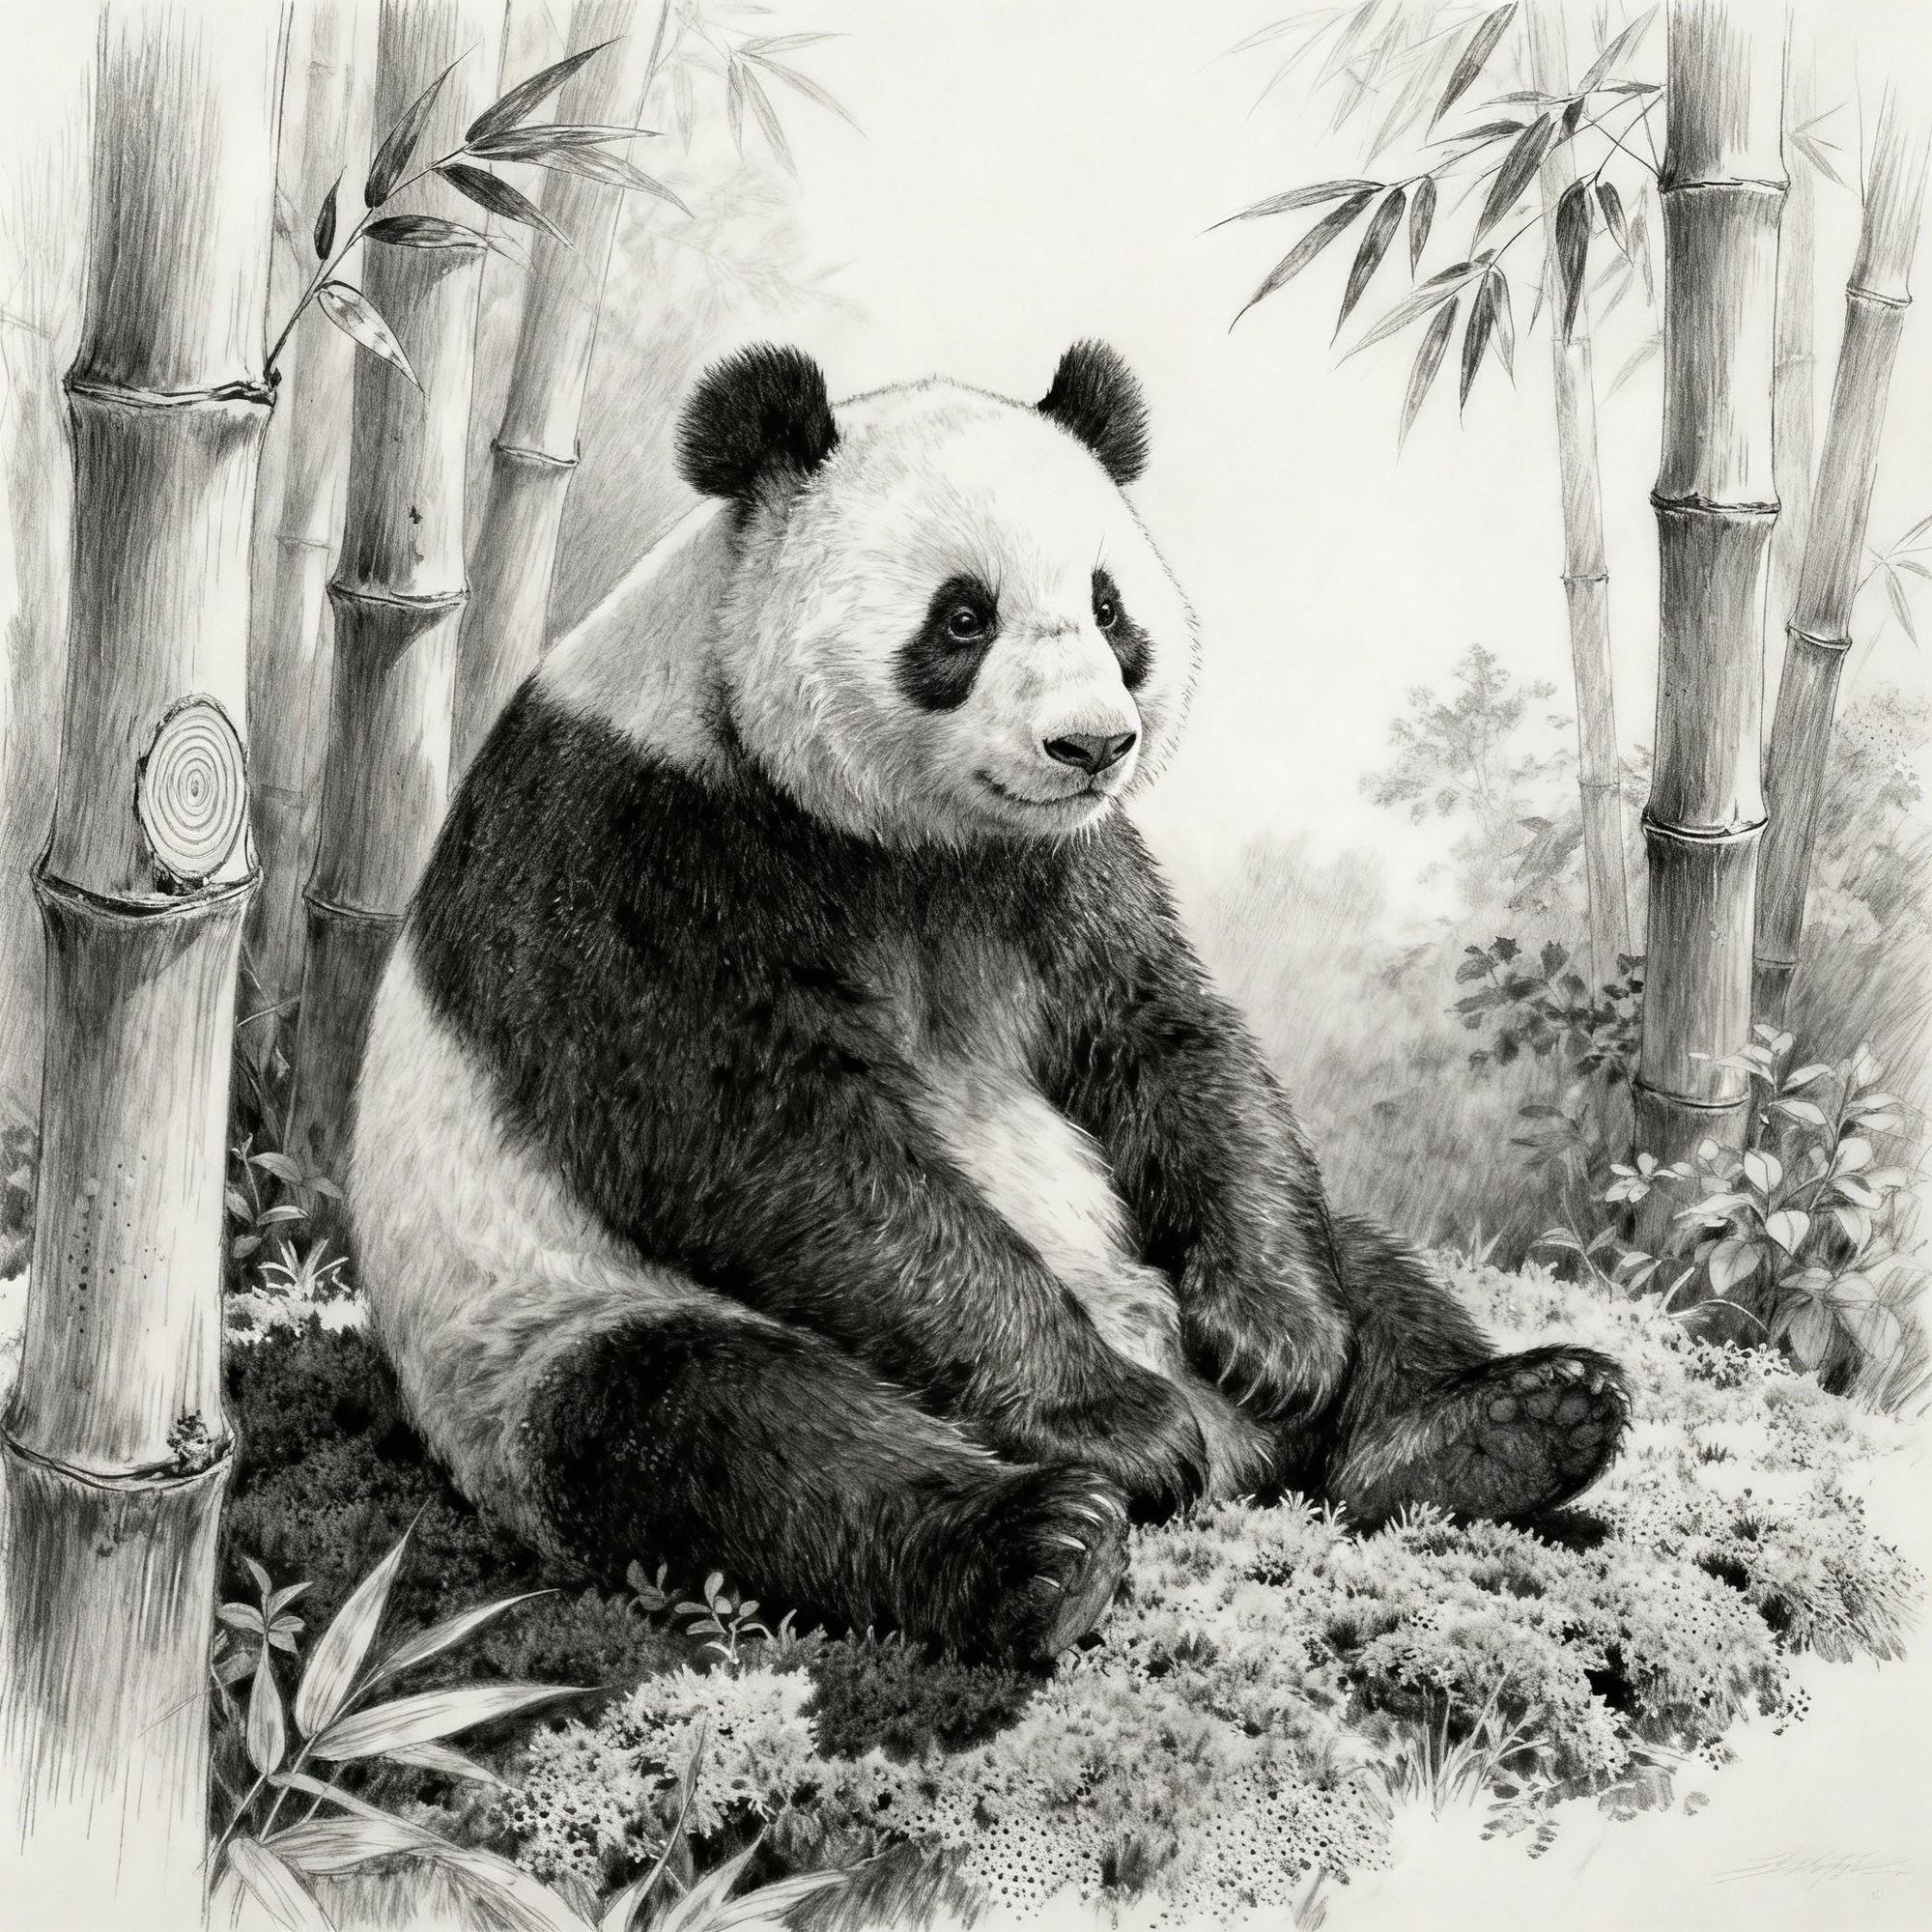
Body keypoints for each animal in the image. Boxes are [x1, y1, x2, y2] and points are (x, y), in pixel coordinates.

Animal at [350, 341, 1630, 1664]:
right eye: (962, 617)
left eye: (1109, 606)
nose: (1092, 745)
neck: (905, 835)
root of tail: (1235, 1456)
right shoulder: (634, 845)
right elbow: (767, 1140)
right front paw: (1107, 1421)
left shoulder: (1059, 868)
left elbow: (1163, 1034)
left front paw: (1278, 1336)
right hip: (538, 1335)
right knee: (726, 1434)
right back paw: (1050, 1538)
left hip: (1159, 1243)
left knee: (1362, 1258)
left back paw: (1494, 1424)